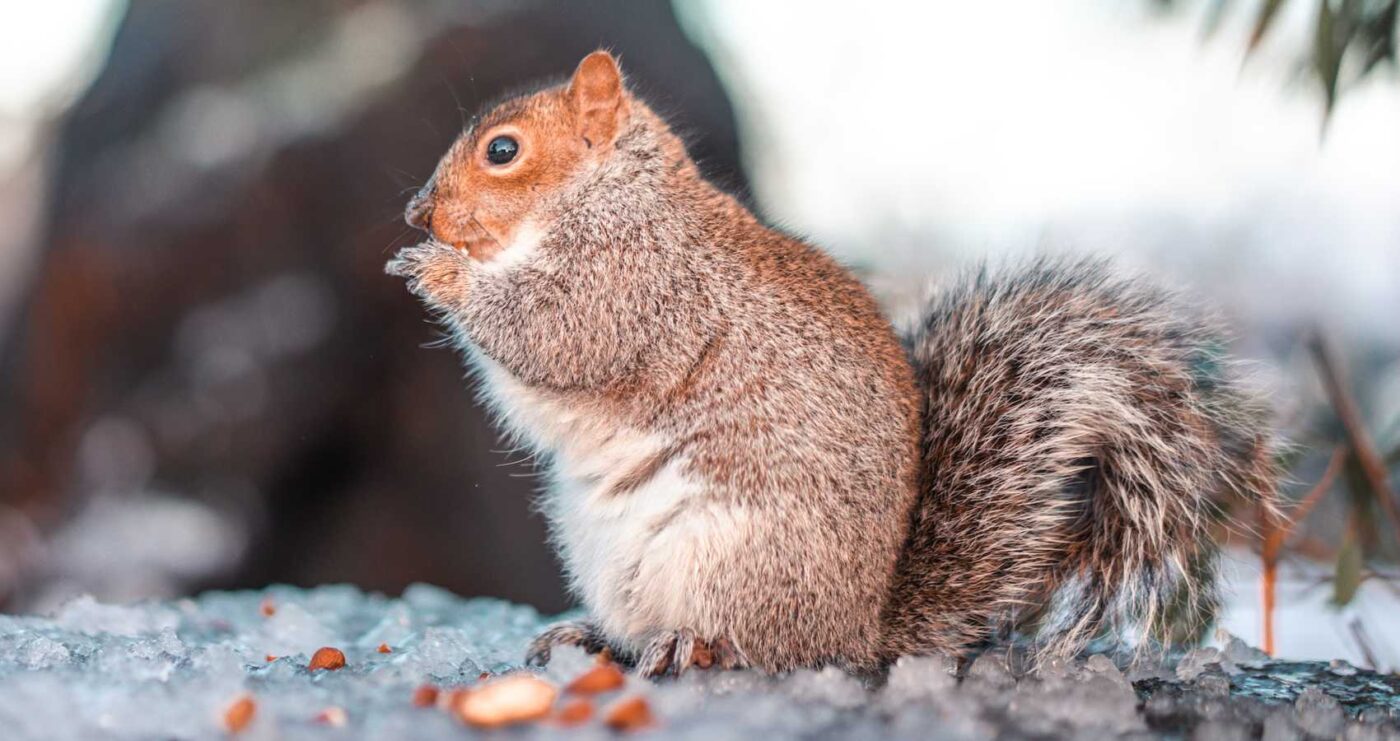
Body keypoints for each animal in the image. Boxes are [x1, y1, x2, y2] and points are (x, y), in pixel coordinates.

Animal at [387, 51, 1277, 676]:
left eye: (504, 151)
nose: (418, 212)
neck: (608, 193)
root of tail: (862, 628)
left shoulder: (636, 283)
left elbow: (556, 332)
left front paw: (440, 272)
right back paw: (594, 637)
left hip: (734, 556)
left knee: (765, 646)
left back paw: (691, 645)